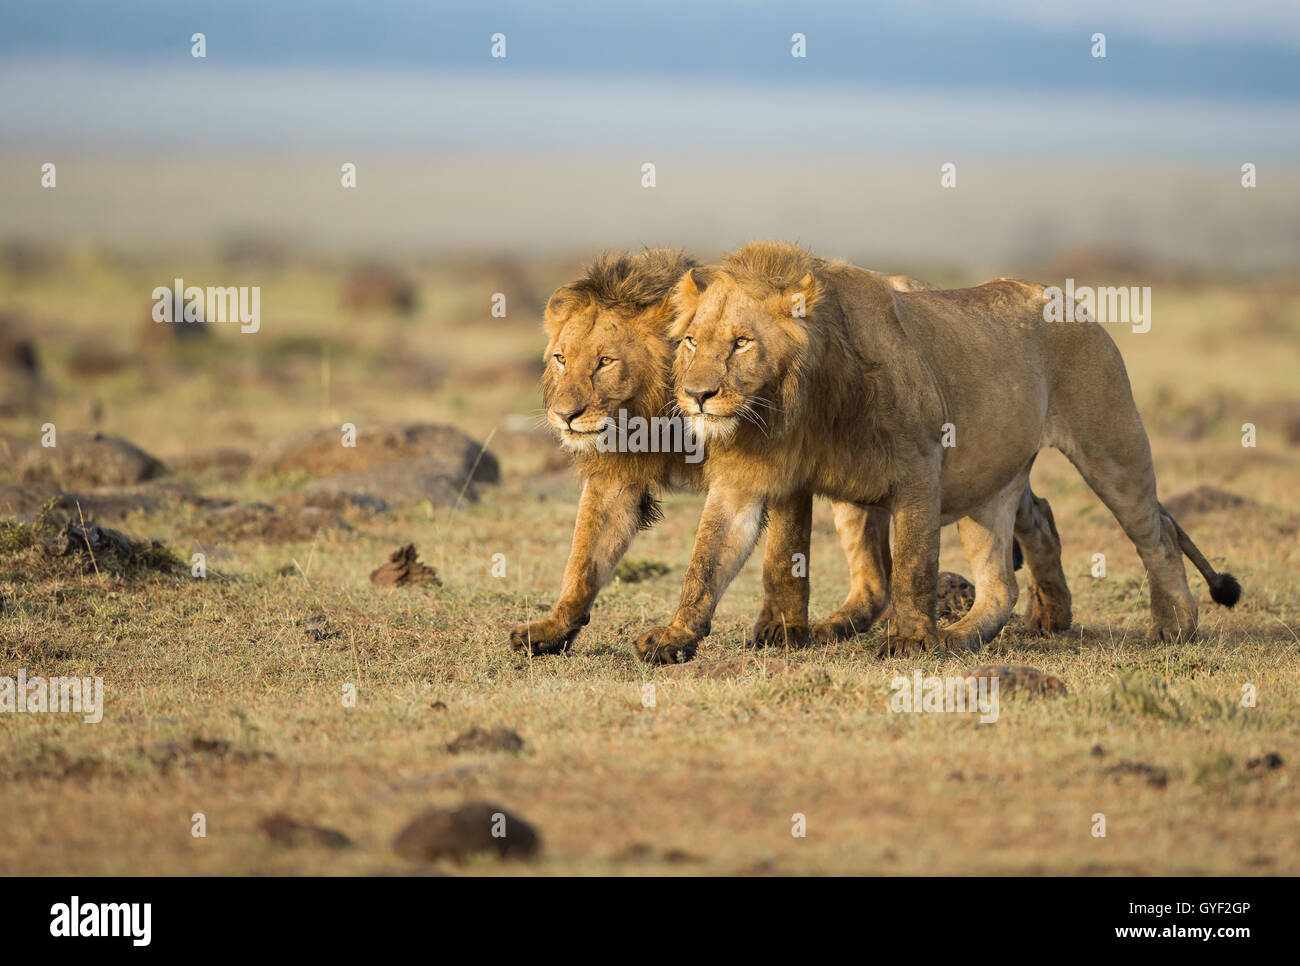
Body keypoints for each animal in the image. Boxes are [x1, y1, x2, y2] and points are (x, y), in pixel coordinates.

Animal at [630, 240, 1238, 663]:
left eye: (741, 342)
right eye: (691, 341)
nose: (696, 395)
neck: (791, 406)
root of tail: (1063, 296)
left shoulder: (920, 468)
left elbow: (914, 565)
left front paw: (910, 642)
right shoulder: (752, 479)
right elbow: (722, 561)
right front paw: (685, 637)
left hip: (1110, 444)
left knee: (1154, 533)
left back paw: (1174, 626)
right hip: (984, 483)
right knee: (998, 577)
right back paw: (977, 630)